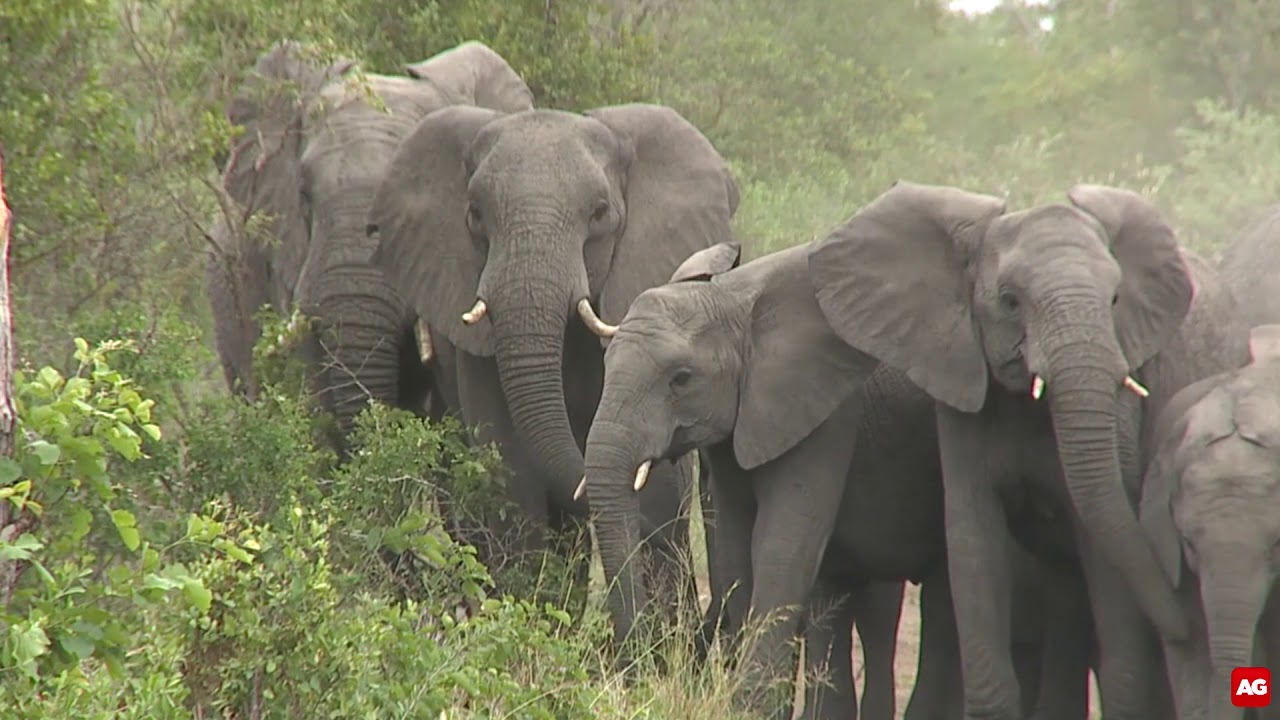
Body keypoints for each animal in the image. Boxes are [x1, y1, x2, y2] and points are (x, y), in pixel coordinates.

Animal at [580, 240, 964, 719]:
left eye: (681, 379)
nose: (636, 680)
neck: (733, 301)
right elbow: (735, 549)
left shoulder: (825, 409)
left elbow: (781, 544)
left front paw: (747, 709)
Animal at [806, 180, 1251, 719]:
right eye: (1009, 301)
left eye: (1116, 299)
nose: (1183, 621)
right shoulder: (964, 397)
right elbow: (973, 539)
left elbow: (1104, 546)